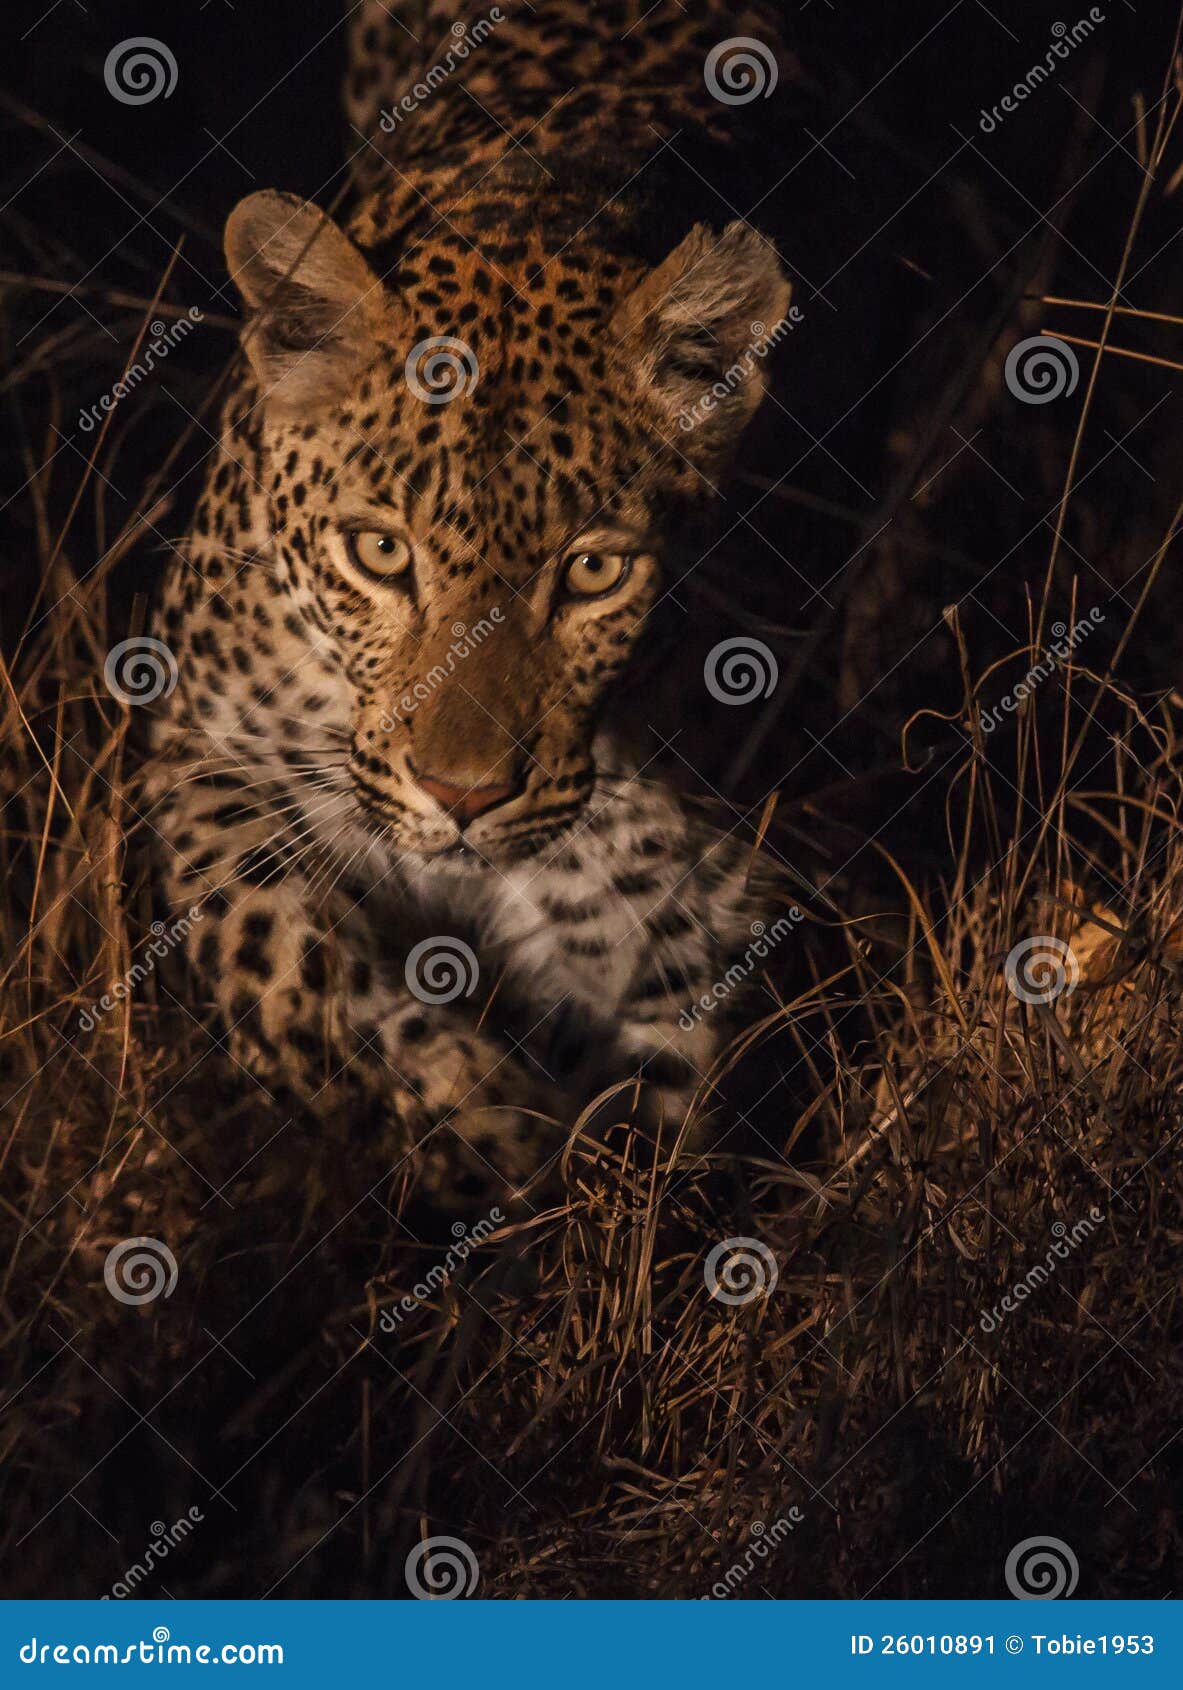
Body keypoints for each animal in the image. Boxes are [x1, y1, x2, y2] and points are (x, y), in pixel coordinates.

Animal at [145, 0, 796, 1209]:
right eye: (378, 553)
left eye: (592, 573)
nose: (461, 795)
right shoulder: (203, 751)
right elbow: (278, 960)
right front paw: (479, 1126)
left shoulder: (693, 899)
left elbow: (655, 1152)